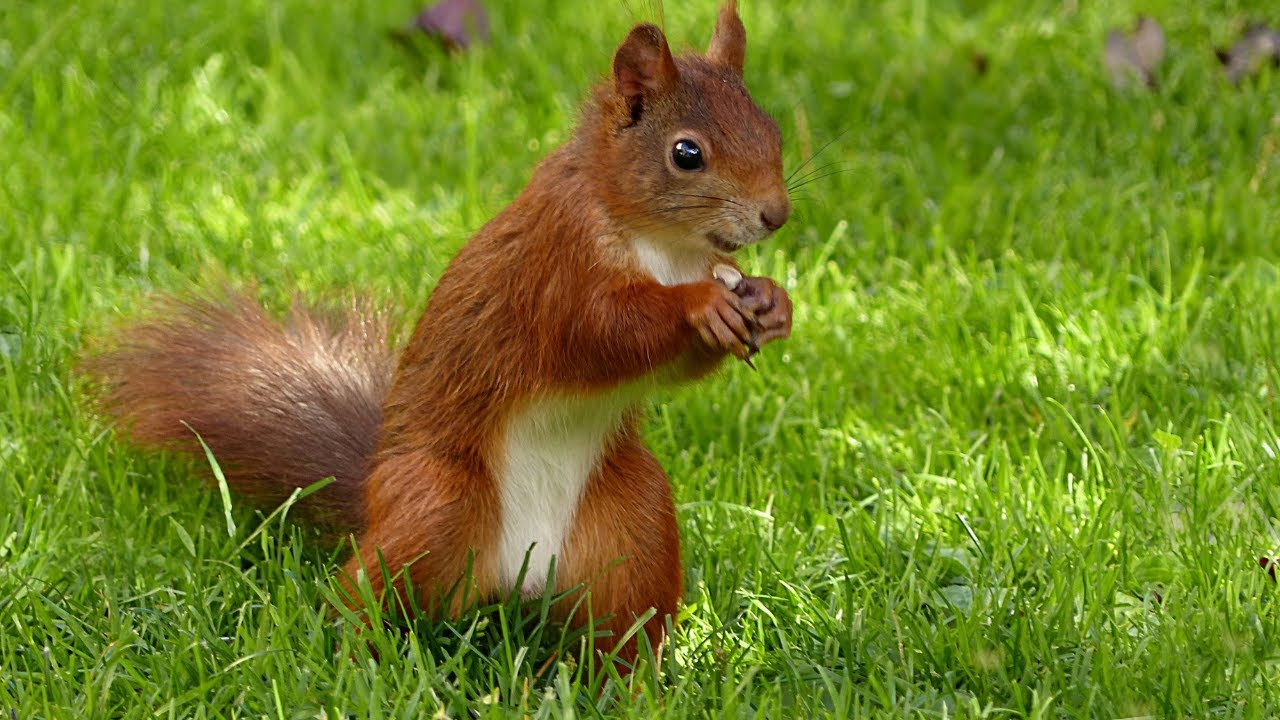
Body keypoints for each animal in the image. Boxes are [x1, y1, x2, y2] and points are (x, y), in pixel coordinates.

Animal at [83, 1, 792, 664]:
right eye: (686, 154)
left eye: (773, 128)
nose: (777, 215)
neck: (662, 244)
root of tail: (518, 576)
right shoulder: (553, 269)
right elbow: (603, 331)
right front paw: (700, 305)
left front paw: (774, 303)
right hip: (438, 504)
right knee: (369, 588)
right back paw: (350, 656)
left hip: (633, 524)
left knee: (623, 625)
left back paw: (632, 685)